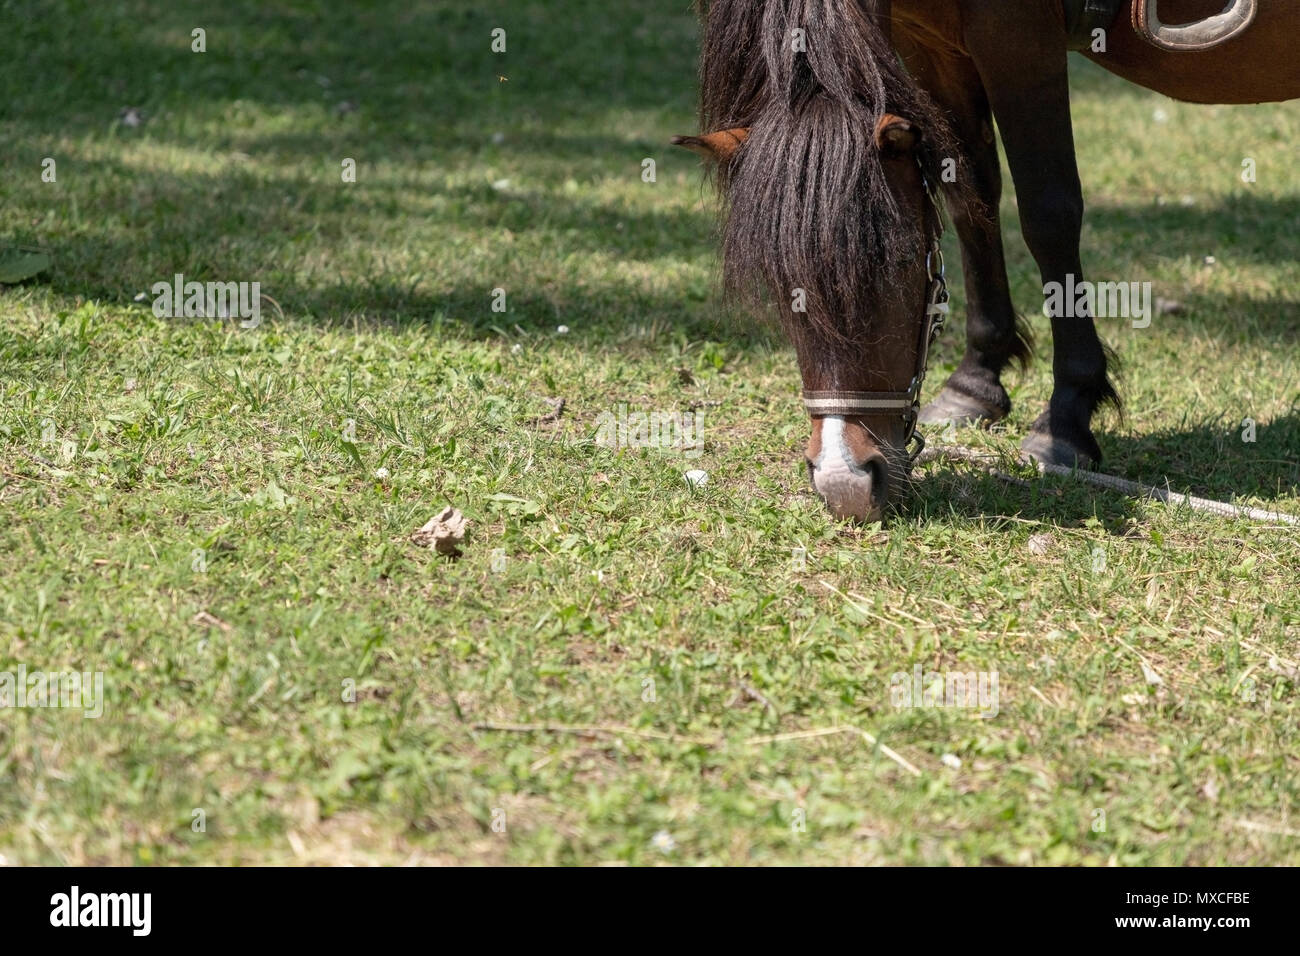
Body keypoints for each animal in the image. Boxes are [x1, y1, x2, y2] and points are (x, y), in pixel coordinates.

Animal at [678, 0, 1299, 522]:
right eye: (781, 286)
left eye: (904, 262)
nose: (845, 483)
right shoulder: (933, 41)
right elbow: (968, 192)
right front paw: (975, 383)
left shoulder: (1017, 34)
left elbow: (1049, 213)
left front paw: (1067, 420)